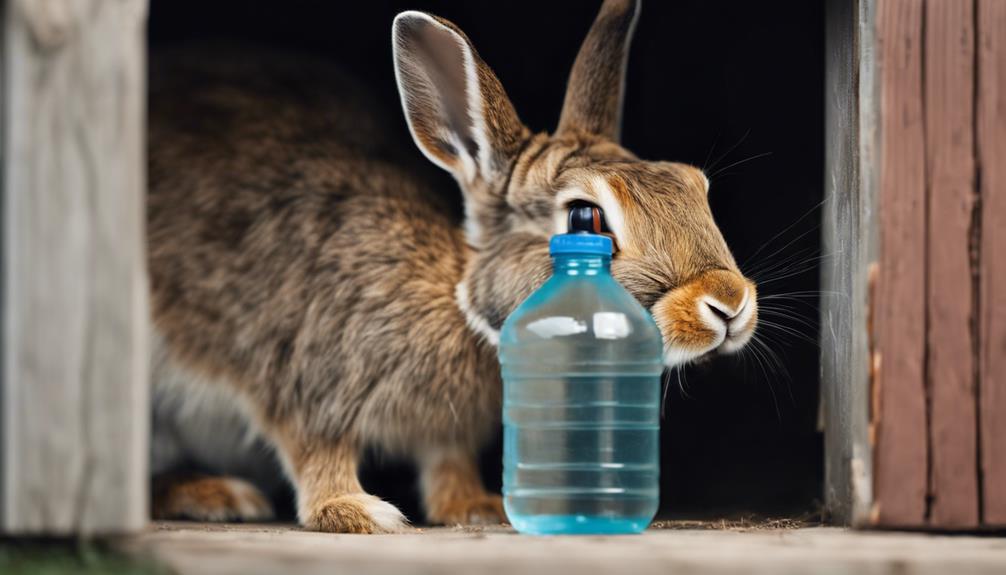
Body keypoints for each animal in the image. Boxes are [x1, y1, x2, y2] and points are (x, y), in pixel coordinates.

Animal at [148, 0, 758, 533]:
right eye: (585, 217)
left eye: (695, 186)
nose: (729, 304)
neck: (462, 300)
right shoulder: (304, 382)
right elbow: (317, 452)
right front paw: (356, 512)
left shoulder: (447, 431)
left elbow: (446, 461)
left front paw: (474, 507)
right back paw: (217, 494)